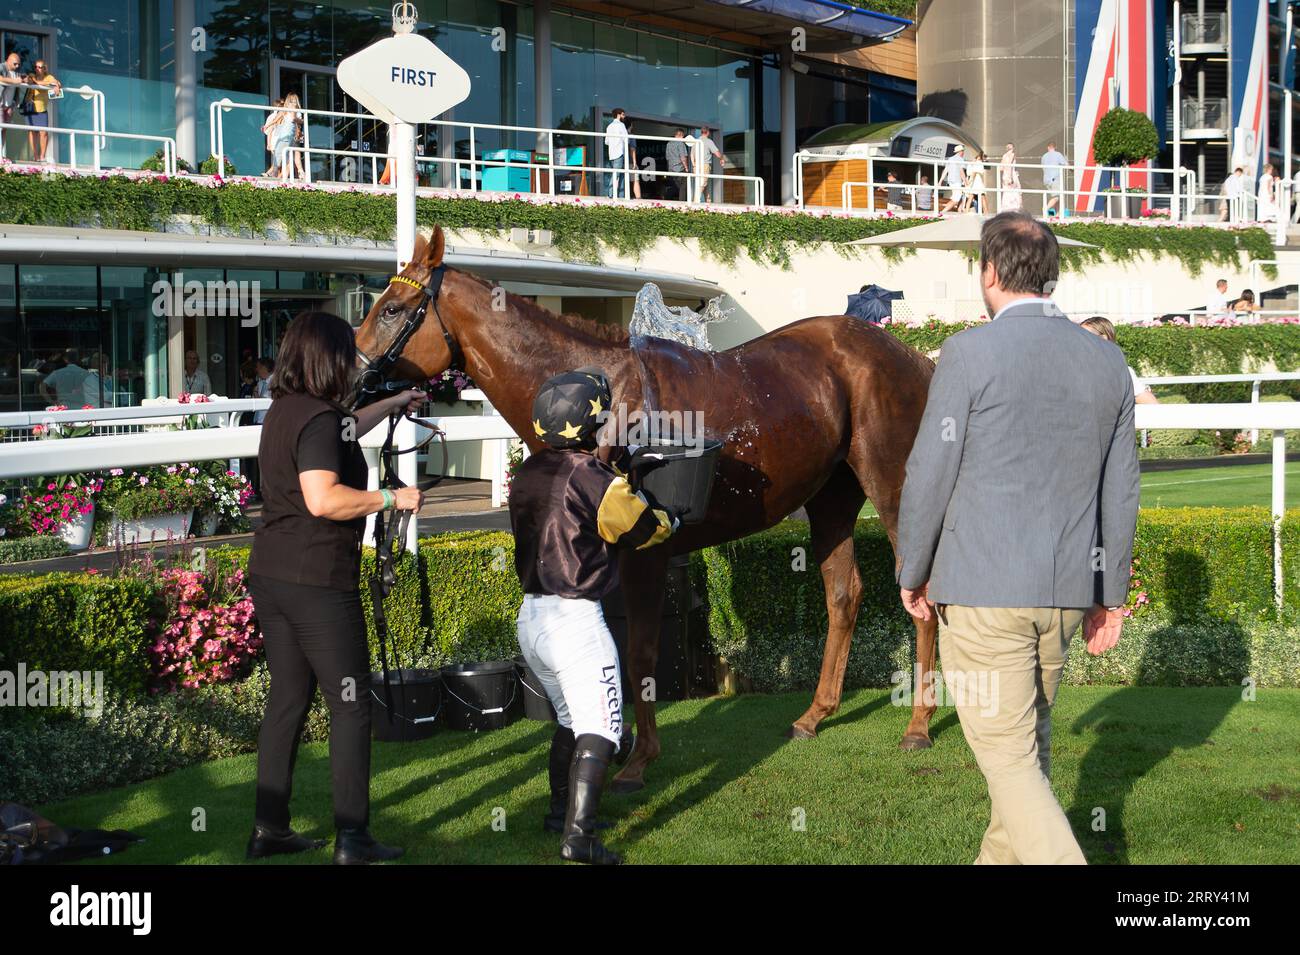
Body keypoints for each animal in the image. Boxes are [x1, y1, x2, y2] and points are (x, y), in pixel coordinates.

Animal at [355, 225, 940, 792]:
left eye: (392, 309)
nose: (355, 382)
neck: (600, 394)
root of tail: (913, 357)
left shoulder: (645, 554)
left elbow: (638, 653)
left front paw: (638, 760)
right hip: (831, 497)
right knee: (844, 593)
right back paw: (815, 714)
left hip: (894, 490)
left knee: (921, 594)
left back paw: (918, 725)